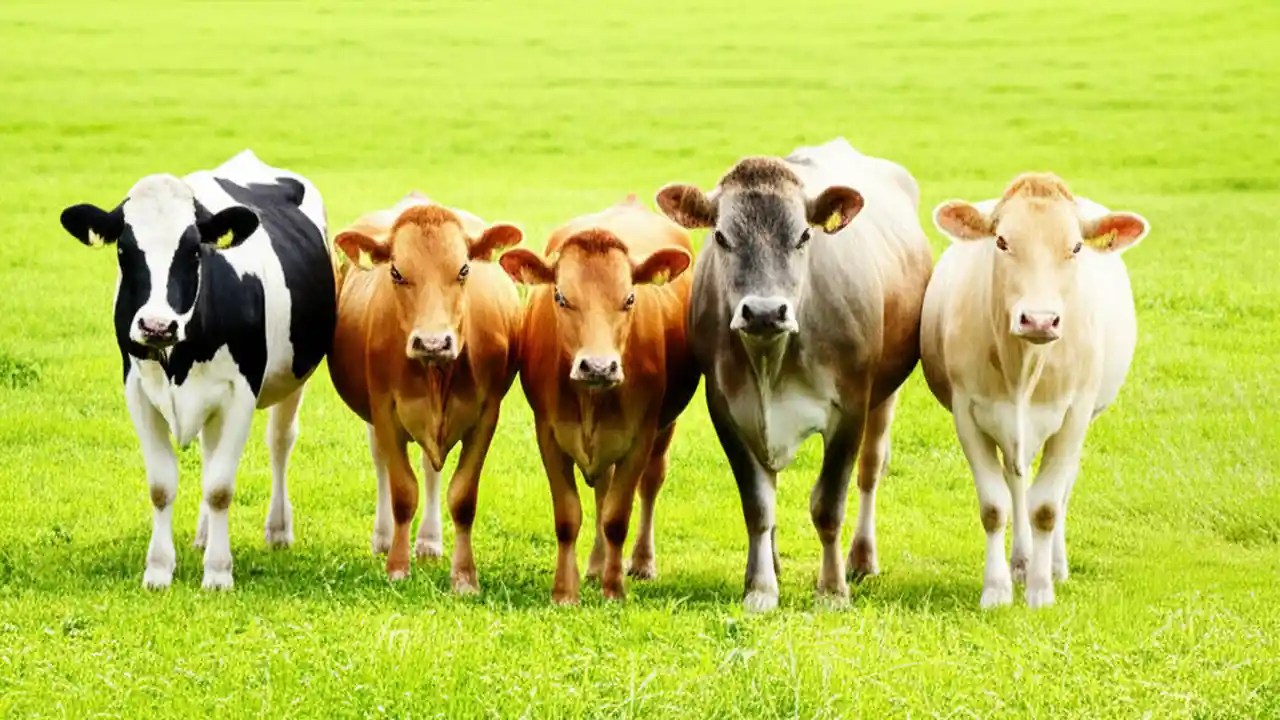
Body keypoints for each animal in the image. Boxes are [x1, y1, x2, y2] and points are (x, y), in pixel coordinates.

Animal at [57, 150, 335, 590]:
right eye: (124, 251)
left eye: (193, 251)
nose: (156, 325)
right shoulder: (137, 390)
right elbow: (161, 485)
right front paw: (158, 569)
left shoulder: (241, 392)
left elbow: (220, 487)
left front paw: (218, 573)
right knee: (209, 450)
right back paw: (204, 535)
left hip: (294, 376)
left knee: (280, 442)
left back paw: (277, 530)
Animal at [328, 194, 523, 590]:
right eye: (396, 272)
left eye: (463, 270)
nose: (432, 342)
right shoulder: (384, 410)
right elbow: (403, 491)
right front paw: (397, 567)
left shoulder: (487, 415)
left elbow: (463, 497)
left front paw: (464, 577)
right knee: (383, 464)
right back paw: (385, 538)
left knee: (431, 470)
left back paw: (429, 542)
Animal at [498, 197, 698, 604]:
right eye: (561, 297)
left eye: (630, 298)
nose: (599, 366)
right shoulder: (548, 434)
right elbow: (569, 515)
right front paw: (565, 591)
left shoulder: (640, 437)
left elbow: (617, 517)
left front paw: (614, 589)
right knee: (602, 492)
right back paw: (595, 564)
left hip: (665, 428)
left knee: (650, 484)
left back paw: (640, 562)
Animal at [656, 138, 933, 612]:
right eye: (721, 236)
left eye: (804, 235)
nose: (765, 311)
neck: (773, 360)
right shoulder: (727, 409)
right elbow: (758, 506)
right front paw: (760, 587)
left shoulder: (850, 408)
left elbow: (828, 504)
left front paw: (833, 590)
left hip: (884, 396)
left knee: (871, 469)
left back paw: (862, 559)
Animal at [921, 173, 1149, 609]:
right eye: (1002, 241)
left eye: (1075, 247)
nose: (1040, 320)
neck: (1023, 366)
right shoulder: (968, 414)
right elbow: (995, 506)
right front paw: (996, 590)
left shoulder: (1075, 414)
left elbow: (1045, 507)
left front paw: (1041, 590)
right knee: (1016, 483)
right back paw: (1022, 561)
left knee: (1060, 491)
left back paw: (1054, 565)